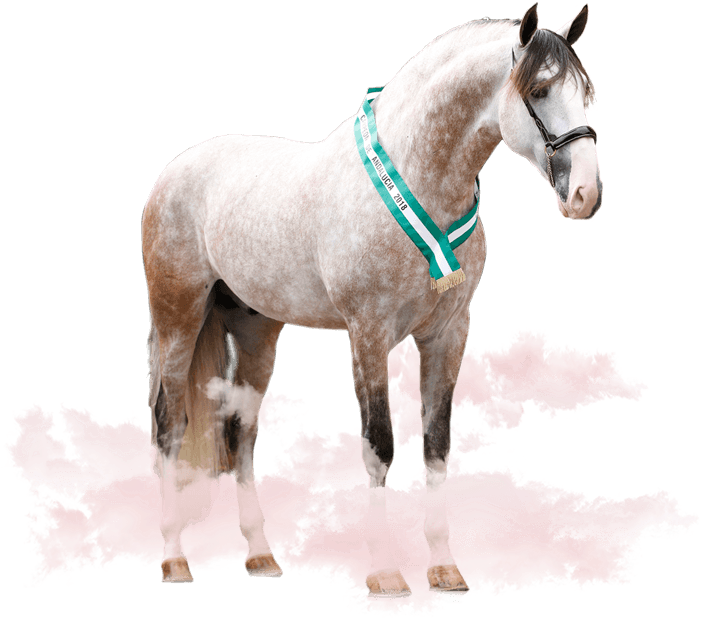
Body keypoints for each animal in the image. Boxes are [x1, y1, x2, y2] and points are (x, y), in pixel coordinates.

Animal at [142, 3, 602, 596]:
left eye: (586, 94)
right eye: (541, 90)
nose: (585, 195)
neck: (416, 178)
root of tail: (175, 171)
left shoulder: (447, 335)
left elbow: (436, 445)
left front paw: (444, 568)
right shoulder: (369, 334)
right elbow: (379, 444)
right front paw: (386, 573)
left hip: (254, 329)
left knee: (238, 431)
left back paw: (261, 555)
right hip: (179, 317)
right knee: (170, 424)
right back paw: (174, 558)